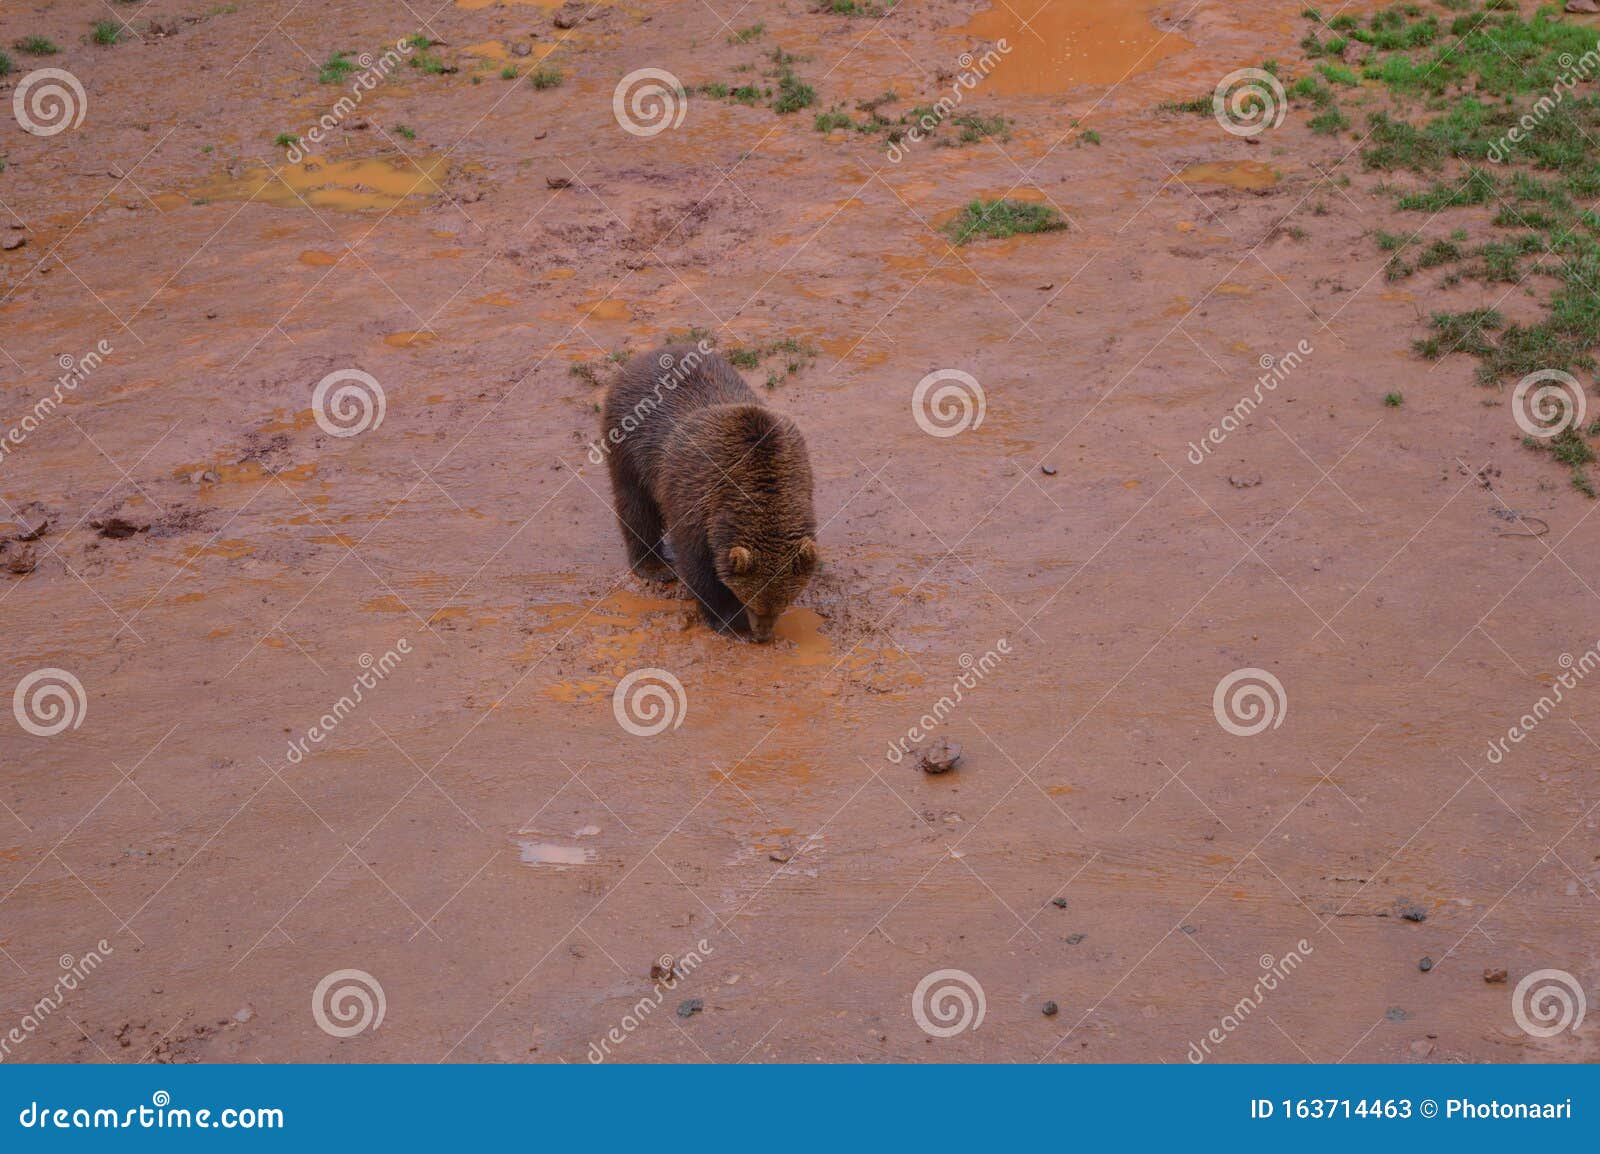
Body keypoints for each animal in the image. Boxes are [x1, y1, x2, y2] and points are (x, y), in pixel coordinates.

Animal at [598, 342, 819, 642]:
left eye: (784, 602)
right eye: (752, 601)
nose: (762, 634)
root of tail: (645, 355)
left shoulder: (799, 472)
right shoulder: (695, 498)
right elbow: (698, 566)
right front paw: (729, 621)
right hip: (630, 443)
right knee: (635, 504)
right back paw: (655, 566)